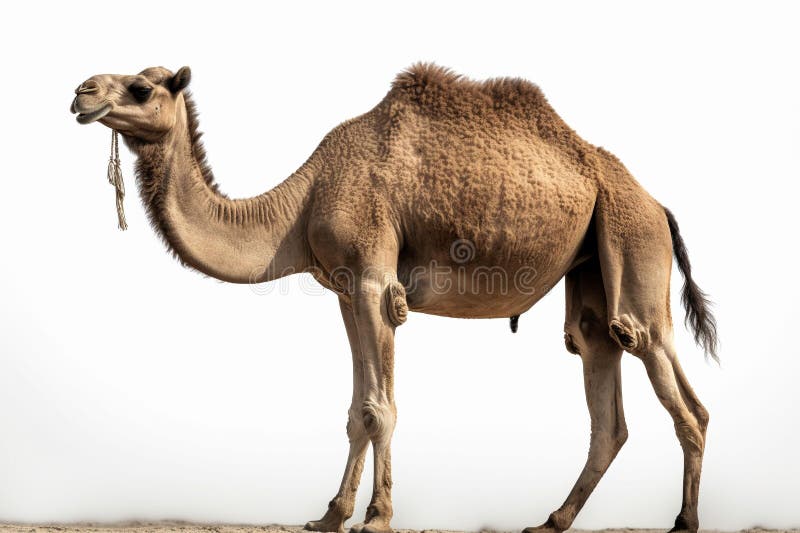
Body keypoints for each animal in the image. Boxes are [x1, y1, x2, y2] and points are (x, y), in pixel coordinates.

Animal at [70, 64, 718, 533]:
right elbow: (356, 410)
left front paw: (377, 517)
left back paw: (684, 521)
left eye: (141, 86)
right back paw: (551, 521)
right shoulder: (344, 289)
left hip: (632, 237)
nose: (81, 92)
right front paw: (329, 515)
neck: (306, 196)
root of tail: (658, 203)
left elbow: (380, 408)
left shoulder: (374, 281)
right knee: (599, 369)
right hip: (592, 265)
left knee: (667, 372)